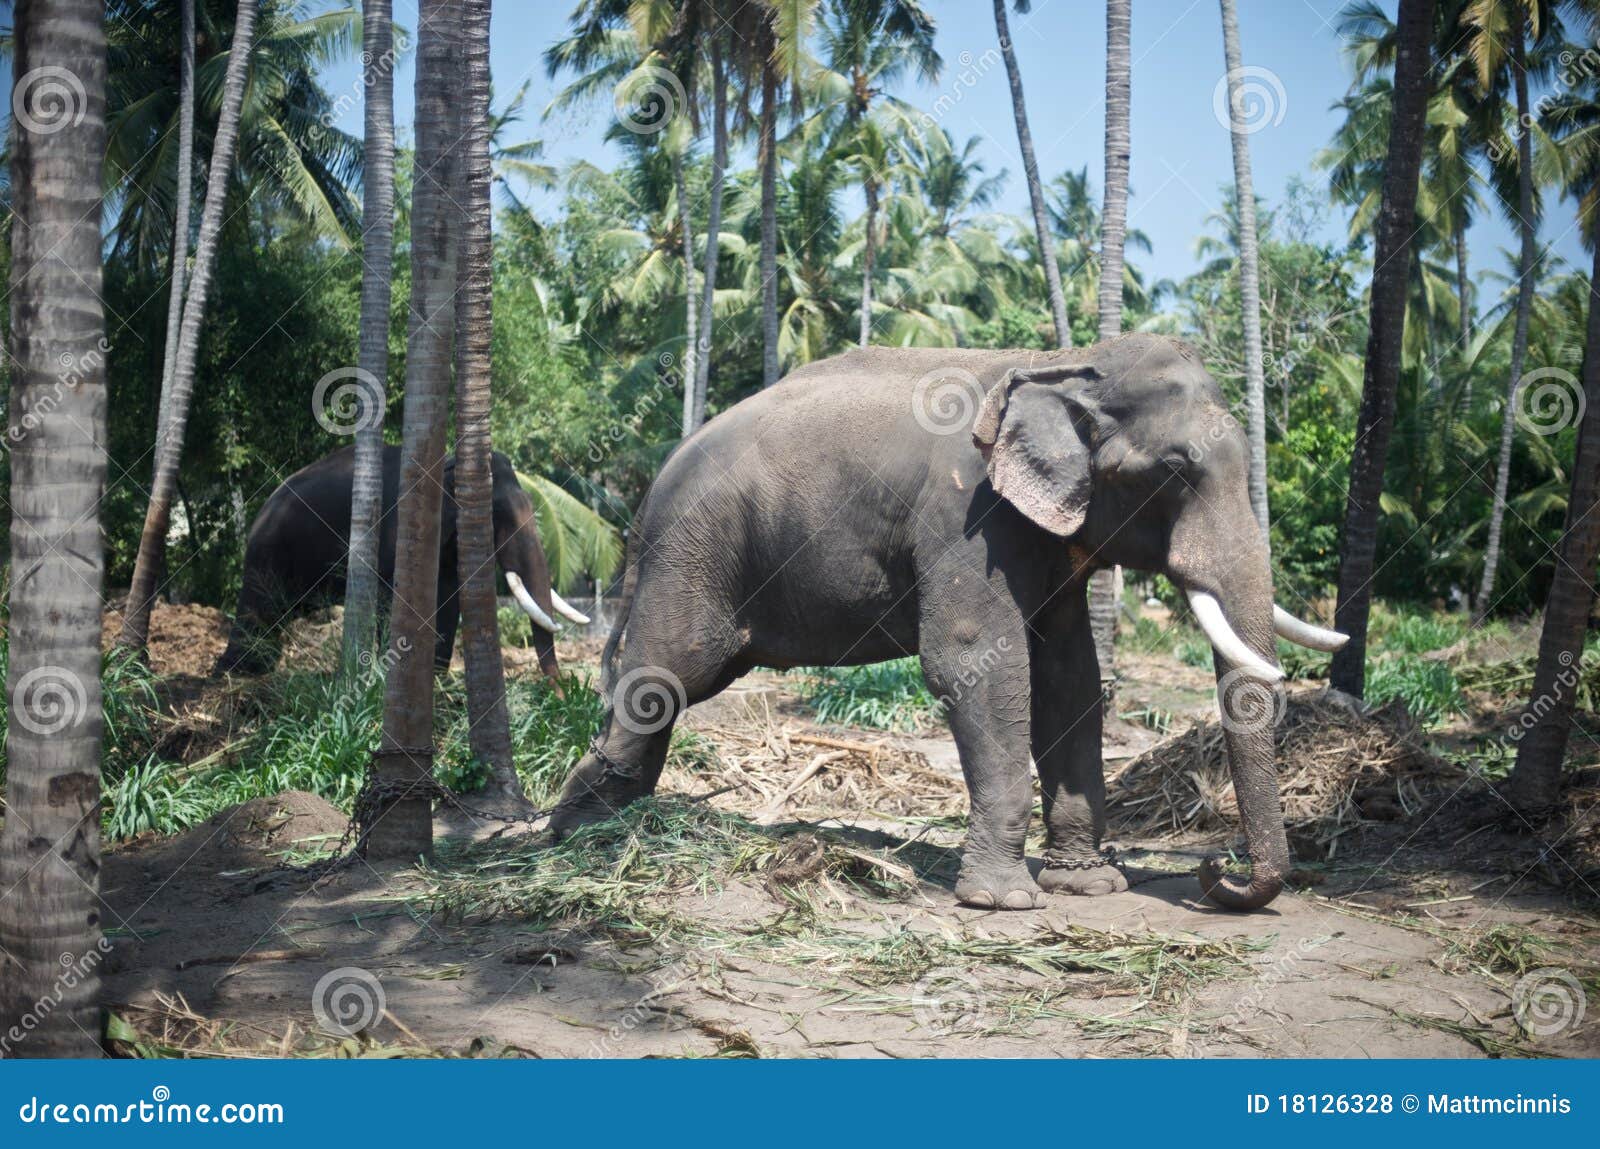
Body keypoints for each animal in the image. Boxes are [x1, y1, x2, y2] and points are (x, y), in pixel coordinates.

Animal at [213, 444, 590, 677]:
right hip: (268, 552)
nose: (562, 692)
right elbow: (389, 596)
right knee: (259, 606)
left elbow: (448, 599)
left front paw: (436, 679)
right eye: (495, 514)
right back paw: (237, 671)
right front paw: (385, 672)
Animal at [550, 334, 1347, 911]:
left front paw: (1087, 886)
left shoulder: (1044, 537)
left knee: (668, 686)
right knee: (667, 673)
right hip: (696, 548)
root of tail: (651, 489)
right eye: (1176, 472)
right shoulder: (967, 516)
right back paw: (583, 835)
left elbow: (1069, 677)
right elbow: (975, 661)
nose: (1217, 870)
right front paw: (1004, 903)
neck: (1066, 362)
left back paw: (613, 821)